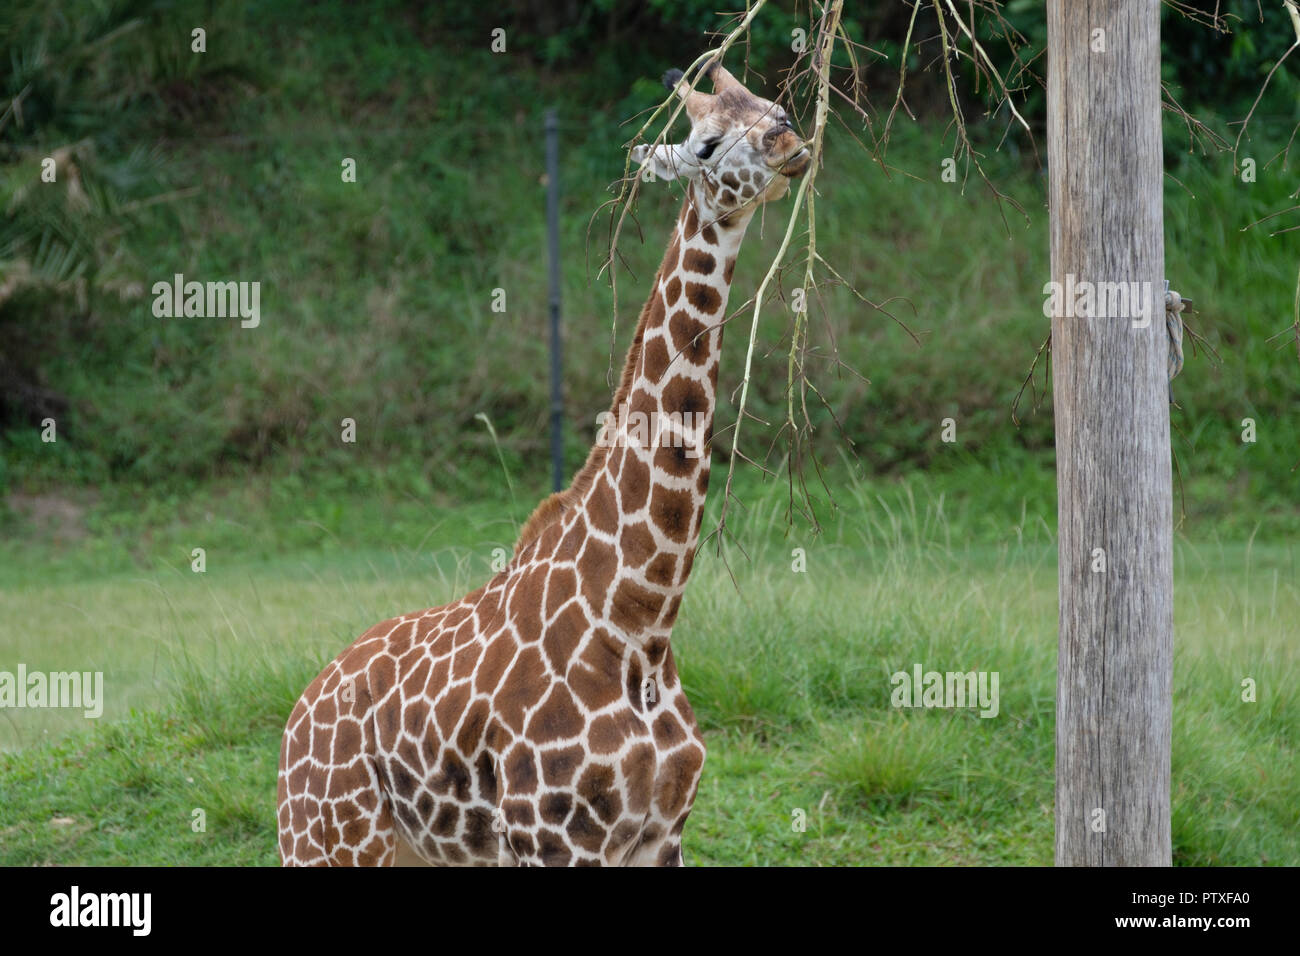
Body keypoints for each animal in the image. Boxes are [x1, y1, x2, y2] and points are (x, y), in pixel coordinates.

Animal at [277, 58, 809, 867]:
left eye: (775, 104)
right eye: (707, 144)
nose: (790, 142)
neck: (641, 625)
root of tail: (294, 717)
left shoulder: (661, 835)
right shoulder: (554, 838)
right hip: (326, 841)